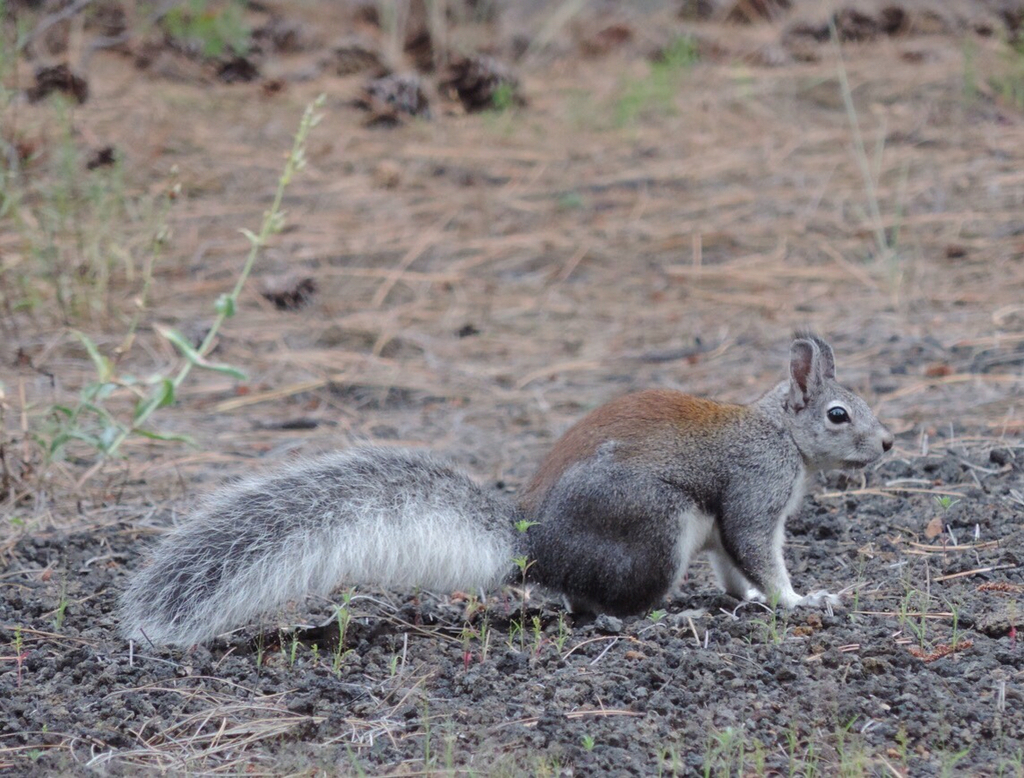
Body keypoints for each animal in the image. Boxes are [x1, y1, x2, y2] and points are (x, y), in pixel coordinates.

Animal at [121, 335, 893, 646]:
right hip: (655, 525)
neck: (780, 433)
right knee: (602, 609)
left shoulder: (743, 518)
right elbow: (757, 551)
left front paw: (754, 600)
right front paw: (797, 600)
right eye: (838, 414)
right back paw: (665, 618)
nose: (888, 445)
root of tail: (537, 547)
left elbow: (737, 564)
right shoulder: (756, 491)